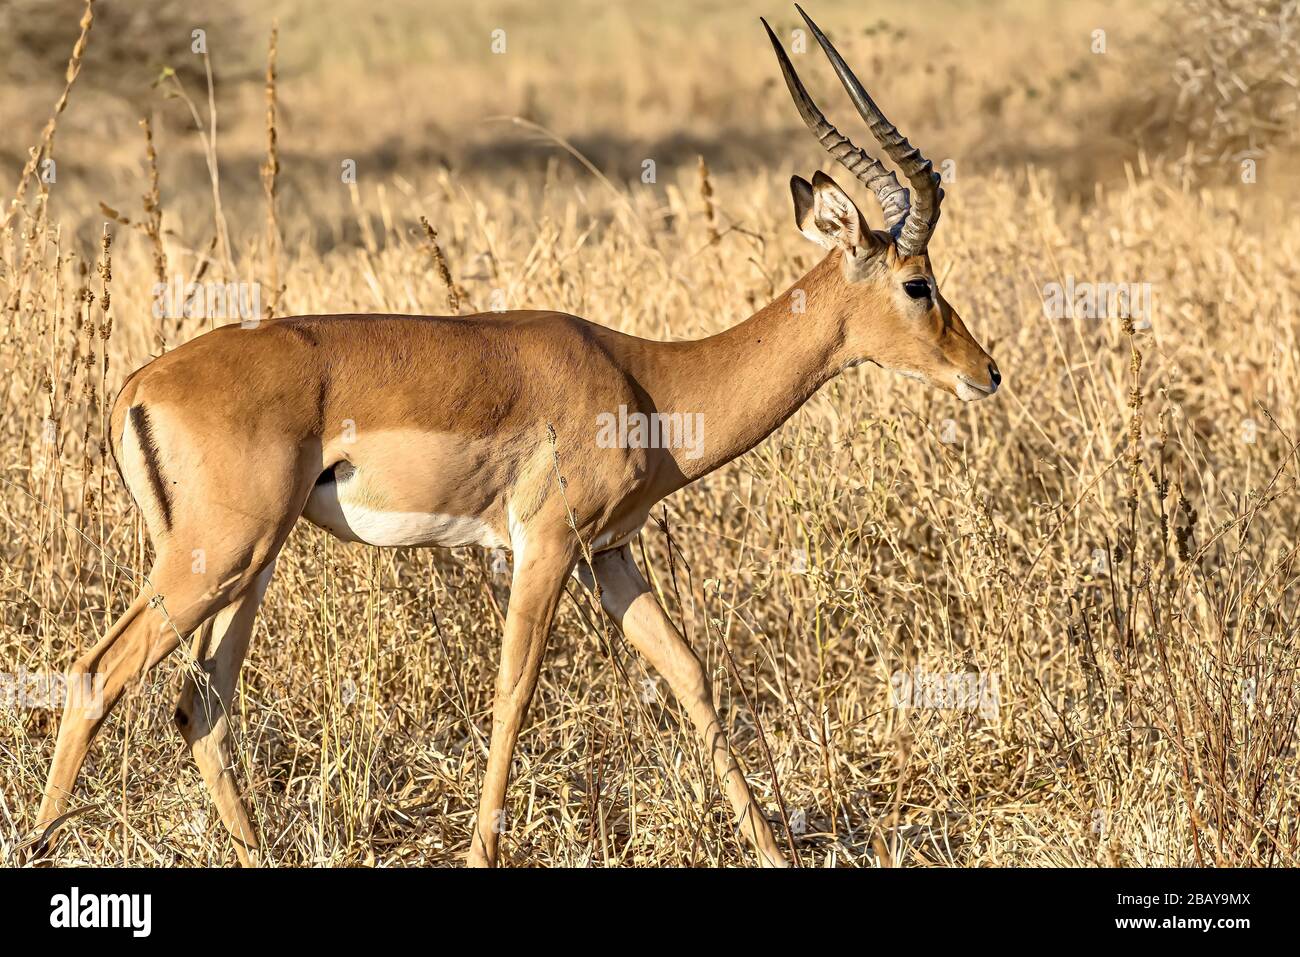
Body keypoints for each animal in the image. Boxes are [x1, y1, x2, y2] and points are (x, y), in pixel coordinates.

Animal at [33, 6, 1000, 868]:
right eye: (917, 283)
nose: (986, 371)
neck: (648, 382)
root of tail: (137, 384)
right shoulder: (545, 545)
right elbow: (515, 690)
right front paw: (481, 851)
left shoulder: (611, 553)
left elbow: (689, 673)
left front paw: (768, 848)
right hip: (218, 555)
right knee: (97, 673)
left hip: (244, 562)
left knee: (201, 702)